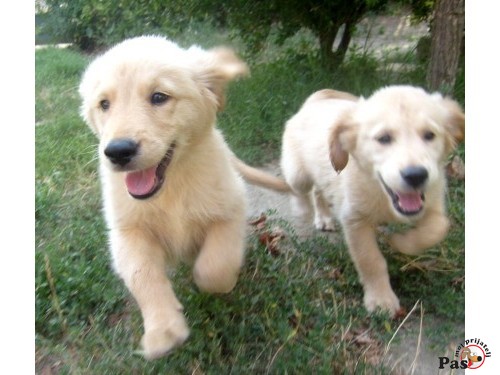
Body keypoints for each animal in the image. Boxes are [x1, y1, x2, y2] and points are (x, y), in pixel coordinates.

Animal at [79, 36, 258, 362]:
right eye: (104, 104)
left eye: (159, 97)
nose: (118, 151)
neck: (171, 186)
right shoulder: (127, 231)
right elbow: (142, 275)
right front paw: (163, 330)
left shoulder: (231, 206)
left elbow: (214, 266)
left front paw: (221, 284)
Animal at [282, 86, 464, 318]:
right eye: (384, 138)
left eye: (430, 135)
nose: (416, 176)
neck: (381, 192)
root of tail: (316, 100)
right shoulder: (355, 220)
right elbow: (371, 260)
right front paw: (381, 300)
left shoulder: (432, 200)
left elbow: (437, 228)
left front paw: (402, 242)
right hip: (298, 173)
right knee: (299, 187)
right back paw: (303, 208)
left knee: (318, 190)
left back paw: (324, 216)